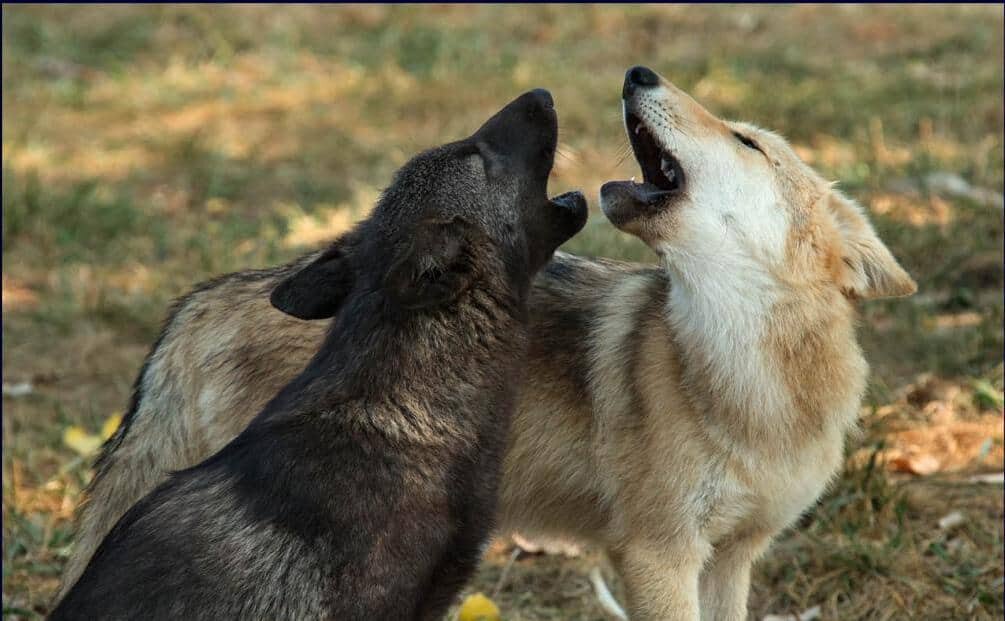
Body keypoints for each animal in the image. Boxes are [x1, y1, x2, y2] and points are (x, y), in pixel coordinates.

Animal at [58, 68, 916, 618]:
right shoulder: (656, 555)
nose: (638, 72)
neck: (748, 382)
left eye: (744, 140)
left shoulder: (731, 557)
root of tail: (196, 302)